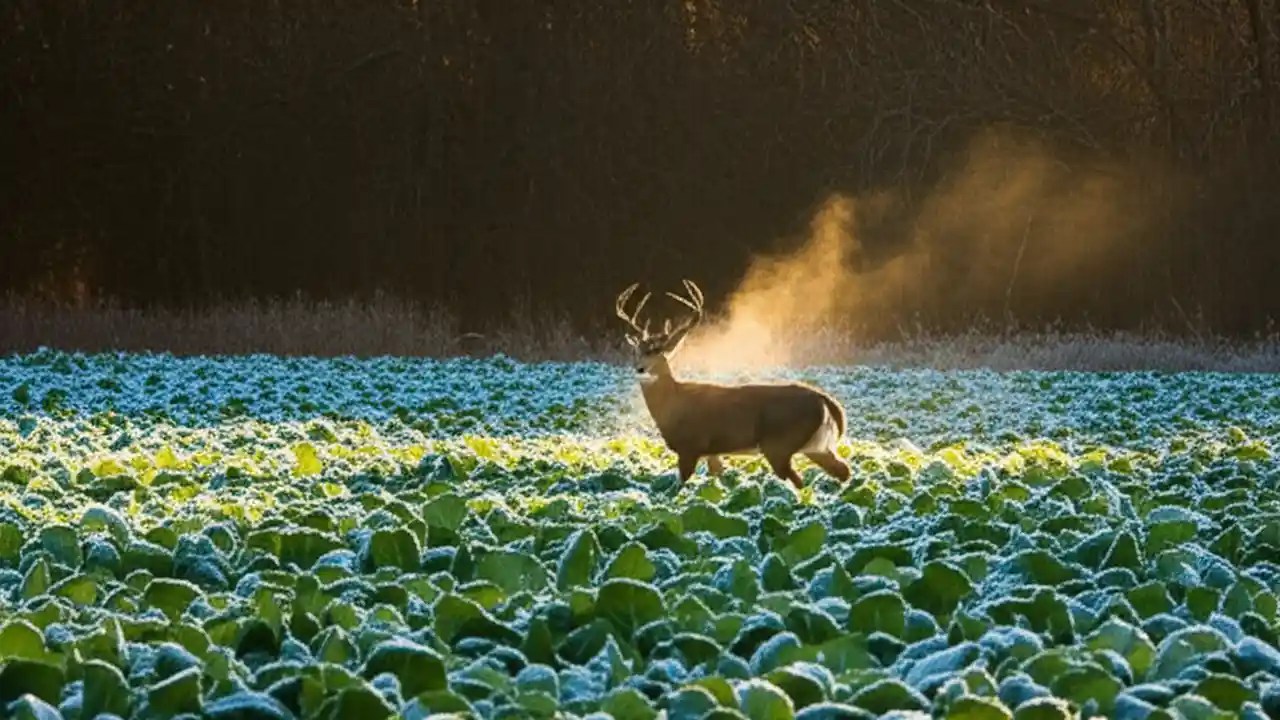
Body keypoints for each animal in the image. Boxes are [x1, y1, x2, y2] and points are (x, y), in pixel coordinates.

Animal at [615, 279, 852, 489]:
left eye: (658, 352)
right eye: (636, 351)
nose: (640, 369)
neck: (673, 405)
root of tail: (825, 400)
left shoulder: (690, 446)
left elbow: (680, 485)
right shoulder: (712, 451)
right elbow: (718, 478)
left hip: (780, 443)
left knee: (799, 481)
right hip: (816, 446)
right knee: (843, 471)